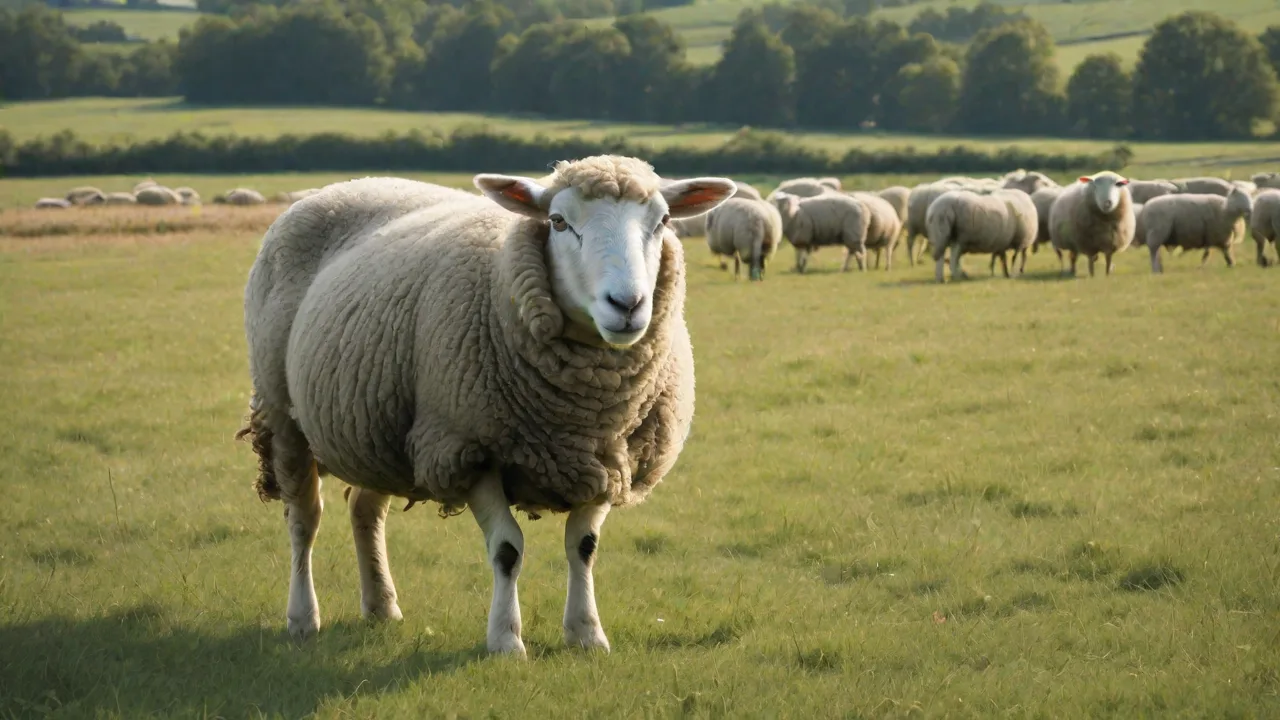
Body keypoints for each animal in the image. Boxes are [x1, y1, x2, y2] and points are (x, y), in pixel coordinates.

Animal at [236, 156, 737, 655]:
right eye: (558, 221)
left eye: (664, 221)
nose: (628, 304)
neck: (588, 407)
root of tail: (344, 184)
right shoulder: (467, 449)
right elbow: (507, 549)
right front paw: (506, 640)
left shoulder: (609, 459)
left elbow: (584, 546)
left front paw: (587, 634)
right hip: (284, 416)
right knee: (304, 519)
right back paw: (303, 617)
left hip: (376, 425)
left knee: (364, 509)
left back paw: (381, 605)